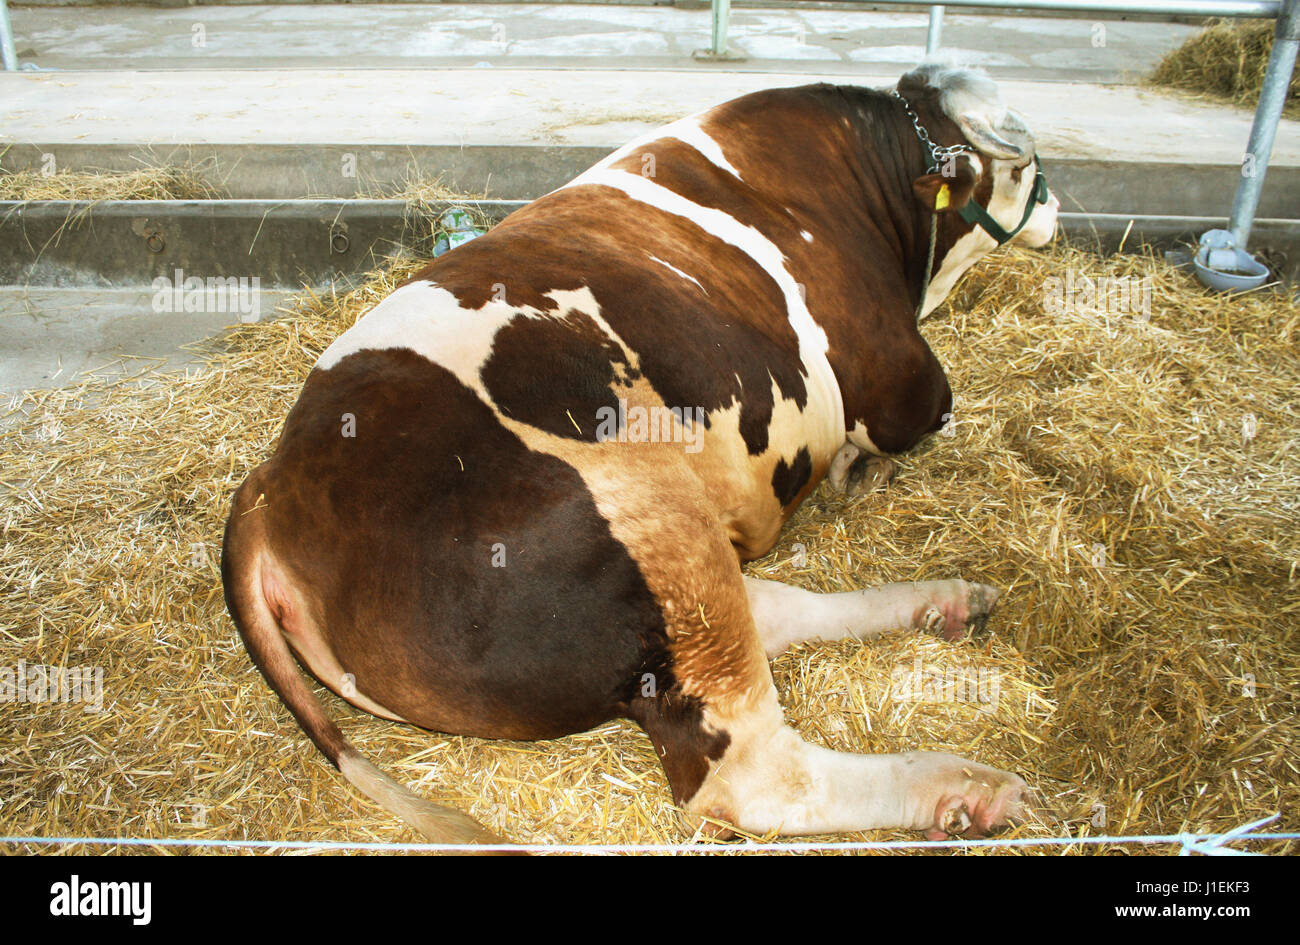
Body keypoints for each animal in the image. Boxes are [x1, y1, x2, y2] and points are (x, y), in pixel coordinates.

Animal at [221, 64, 1060, 848]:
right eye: (1026, 163)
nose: (1053, 207)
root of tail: (269, 485)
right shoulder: (902, 376)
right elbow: (916, 420)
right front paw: (864, 464)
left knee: (774, 611)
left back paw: (947, 600)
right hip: (654, 519)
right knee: (755, 770)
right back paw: (965, 784)